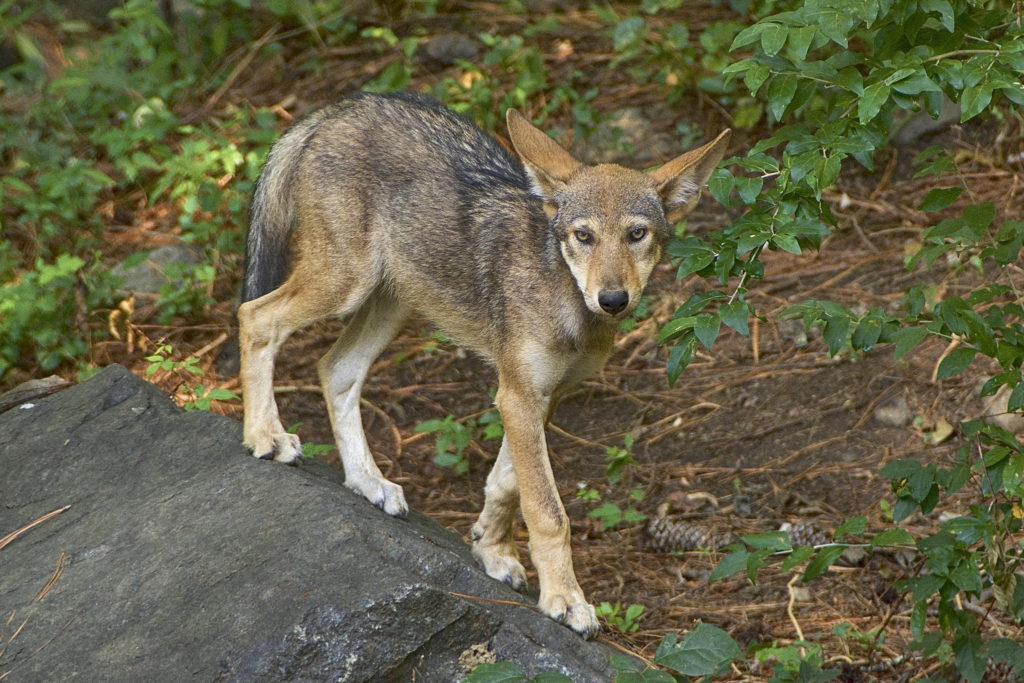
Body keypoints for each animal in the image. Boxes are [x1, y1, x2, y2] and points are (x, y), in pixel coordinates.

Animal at [237, 91, 729, 636]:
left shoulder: (543, 397)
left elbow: (507, 484)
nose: (614, 299)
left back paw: (369, 483)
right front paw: (565, 599)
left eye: (637, 234)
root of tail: (339, 109)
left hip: (390, 302)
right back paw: (266, 435)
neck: (569, 302)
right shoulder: (516, 395)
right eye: (584, 236)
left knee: (333, 368)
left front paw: (491, 551)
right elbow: (548, 512)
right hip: (345, 286)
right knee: (255, 317)